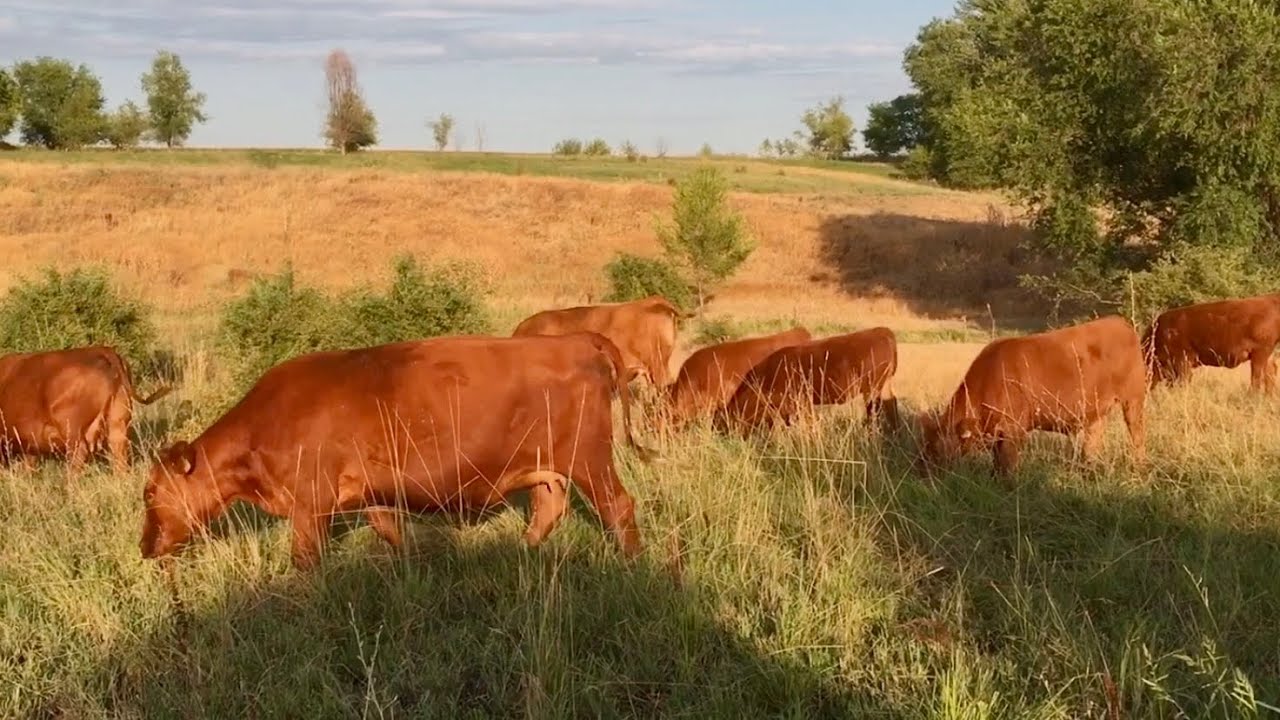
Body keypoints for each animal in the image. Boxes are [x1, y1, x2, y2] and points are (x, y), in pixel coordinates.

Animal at [139, 333, 651, 570]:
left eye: (149, 493)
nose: (144, 547)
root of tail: (576, 339)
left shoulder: (310, 504)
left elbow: (305, 560)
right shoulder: (372, 495)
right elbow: (391, 534)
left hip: (589, 461)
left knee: (619, 507)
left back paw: (632, 565)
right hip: (548, 468)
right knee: (548, 508)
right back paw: (522, 553)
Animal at [919, 315, 1146, 477]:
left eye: (939, 448)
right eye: (926, 443)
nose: (923, 472)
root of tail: (1121, 323)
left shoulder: (1014, 430)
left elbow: (1008, 465)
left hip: (1133, 399)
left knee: (1137, 435)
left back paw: (1138, 466)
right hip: (1096, 409)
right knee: (1093, 438)